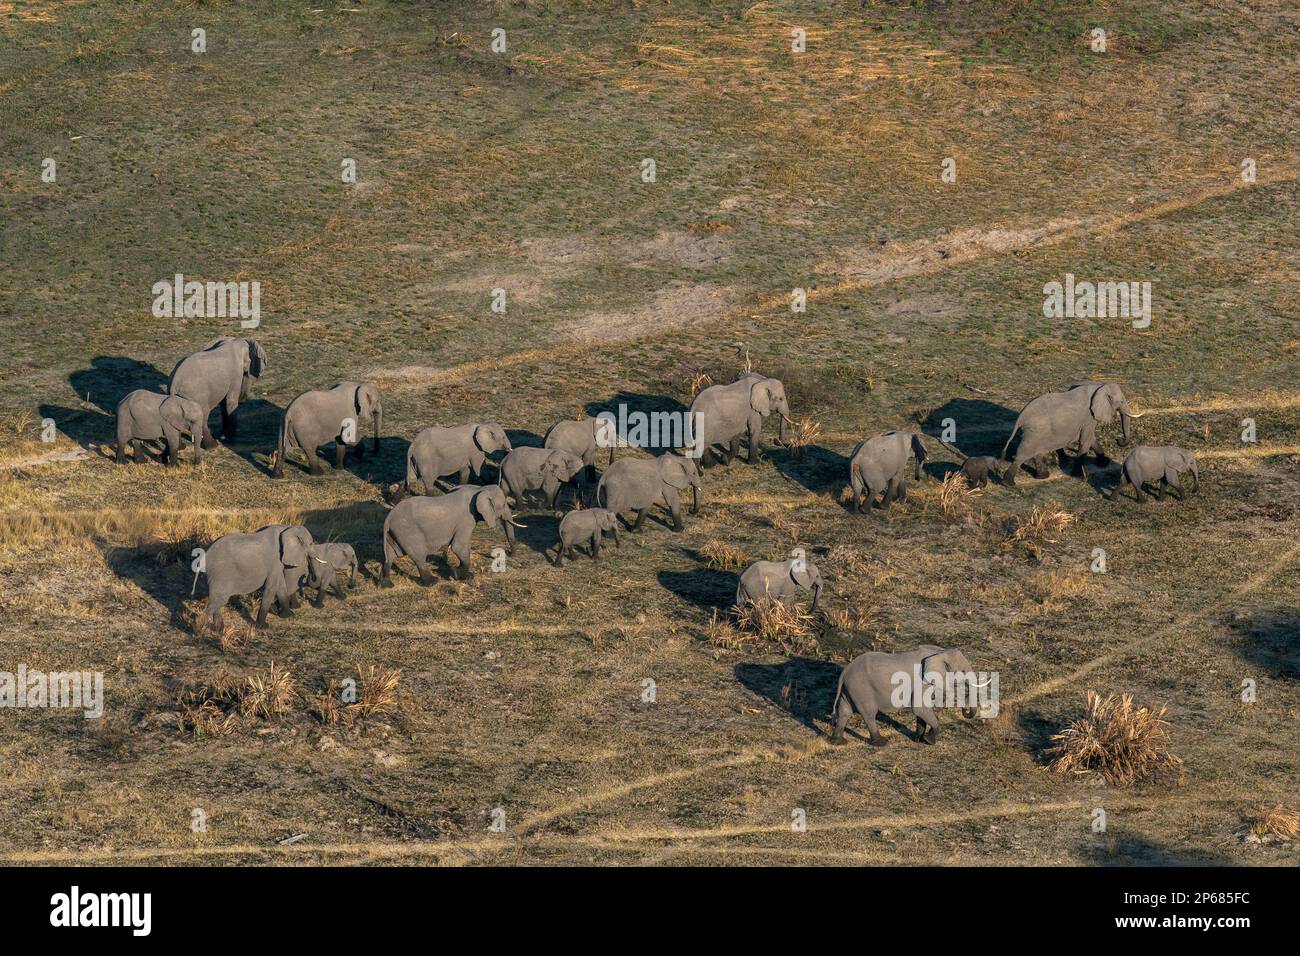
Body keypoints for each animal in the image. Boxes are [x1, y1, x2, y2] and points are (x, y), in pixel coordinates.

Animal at [197, 524, 326, 632]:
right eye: (311, 543)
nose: (306, 575)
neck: (287, 528)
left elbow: (280, 585)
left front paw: (288, 615)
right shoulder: (275, 560)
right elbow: (272, 586)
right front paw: (263, 627)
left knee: (217, 599)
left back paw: (219, 629)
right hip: (221, 574)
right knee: (219, 599)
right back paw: (202, 630)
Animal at [380, 484, 522, 586]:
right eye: (503, 504)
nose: (508, 552)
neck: (479, 489)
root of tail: (388, 518)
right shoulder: (466, 520)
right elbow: (458, 547)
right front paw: (458, 575)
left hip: (395, 534)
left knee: (390, 555)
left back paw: (386, 584)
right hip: (407, 532)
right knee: (419, 555)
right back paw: (432, 582)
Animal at [829, 645, 986, 747]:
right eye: (963, 671)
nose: (964, 709)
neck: (940, 652)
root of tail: (845, 671)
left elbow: (922, 711)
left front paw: (918, 739)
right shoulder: (922, 683)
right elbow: (919, 708)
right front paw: (929, 741)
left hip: (851, 688)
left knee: (845, 711)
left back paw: (838, 742)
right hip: (861, 688)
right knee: (869, 713)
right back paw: (881, 743)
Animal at [1001, 381, 1141, 485]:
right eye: (1121, 401)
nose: (1118, 439)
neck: (1099, 386)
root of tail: (1021, 416)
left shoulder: (1088, 420)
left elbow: (1090, 439)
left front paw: (1104, 463)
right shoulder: (1088, 417)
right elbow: (1085, 440)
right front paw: (1078, 475)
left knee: (1036, 452)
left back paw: (1043, 476)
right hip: (1034, 431)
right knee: (1024, 453)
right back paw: (1008, 483)